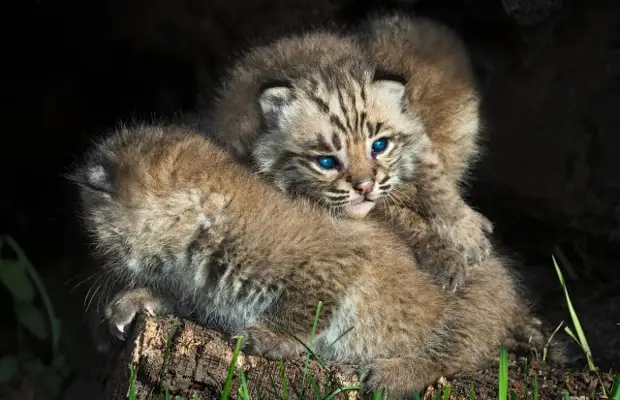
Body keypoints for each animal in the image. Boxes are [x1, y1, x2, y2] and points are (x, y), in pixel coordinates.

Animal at [71, 124, 552, 396]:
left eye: (96, 239)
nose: (93, 266)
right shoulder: (205, 293)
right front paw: (136, 299)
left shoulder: (340, 258)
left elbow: (310, 306)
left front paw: (274, 339)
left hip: (469, 309)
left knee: (459, 353)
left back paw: (396, 373)